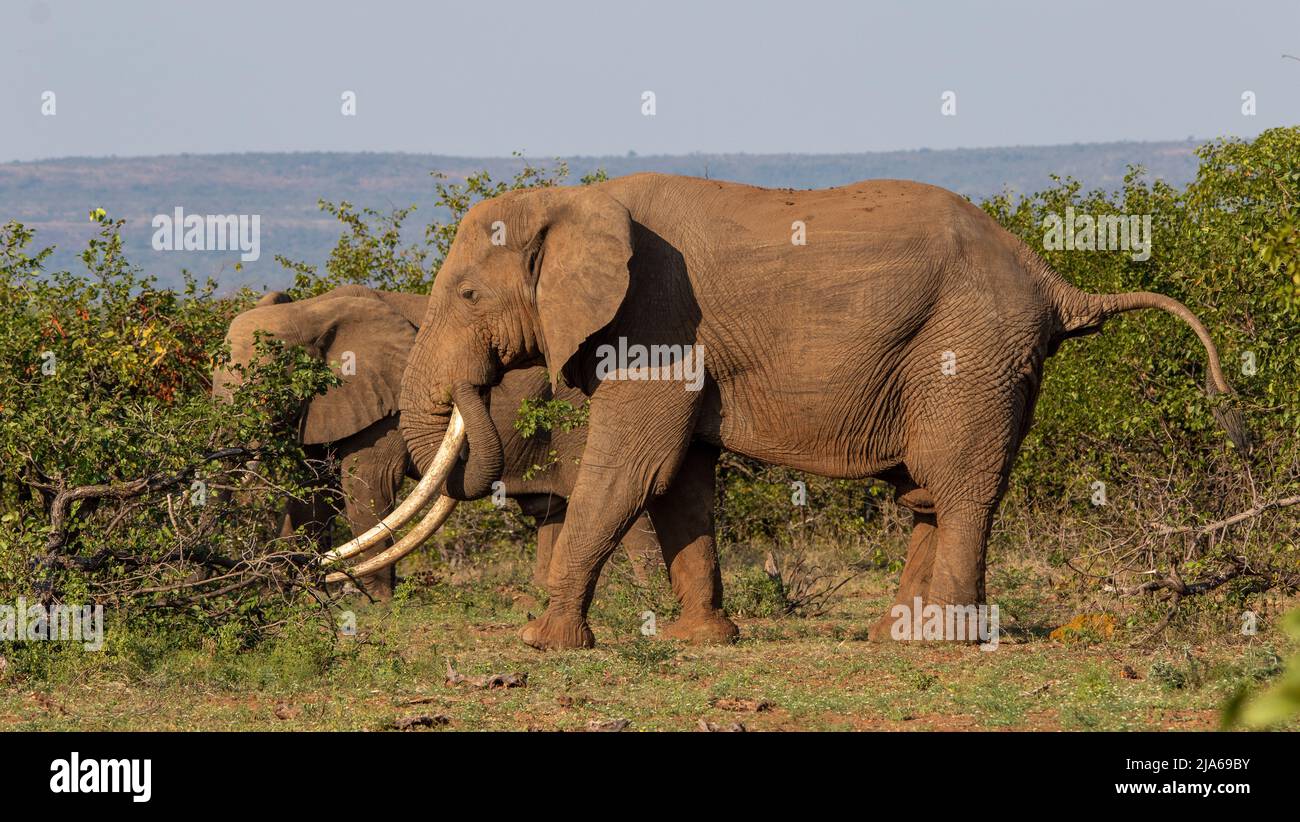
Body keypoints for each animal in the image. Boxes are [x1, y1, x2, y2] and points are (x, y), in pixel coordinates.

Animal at [213, 284, 662, 600]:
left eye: (268, 388)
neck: (310, 310)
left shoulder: (385, 405)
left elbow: (366, 484)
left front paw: (374, 602)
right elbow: (312, 495)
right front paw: (294, 588)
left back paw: (652, 598)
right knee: (553, 511)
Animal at [387, 172, 1245, 650]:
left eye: (469, 295)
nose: (471, 391)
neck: (574, 201)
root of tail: (1052, 279)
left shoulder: (656, 320)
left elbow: (633, 467)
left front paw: (541, 644)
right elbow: (682, 480)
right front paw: (704, 641)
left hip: (971, 348)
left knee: (960, 483)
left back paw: (940, 646)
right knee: (927, 492)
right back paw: (895, 638)